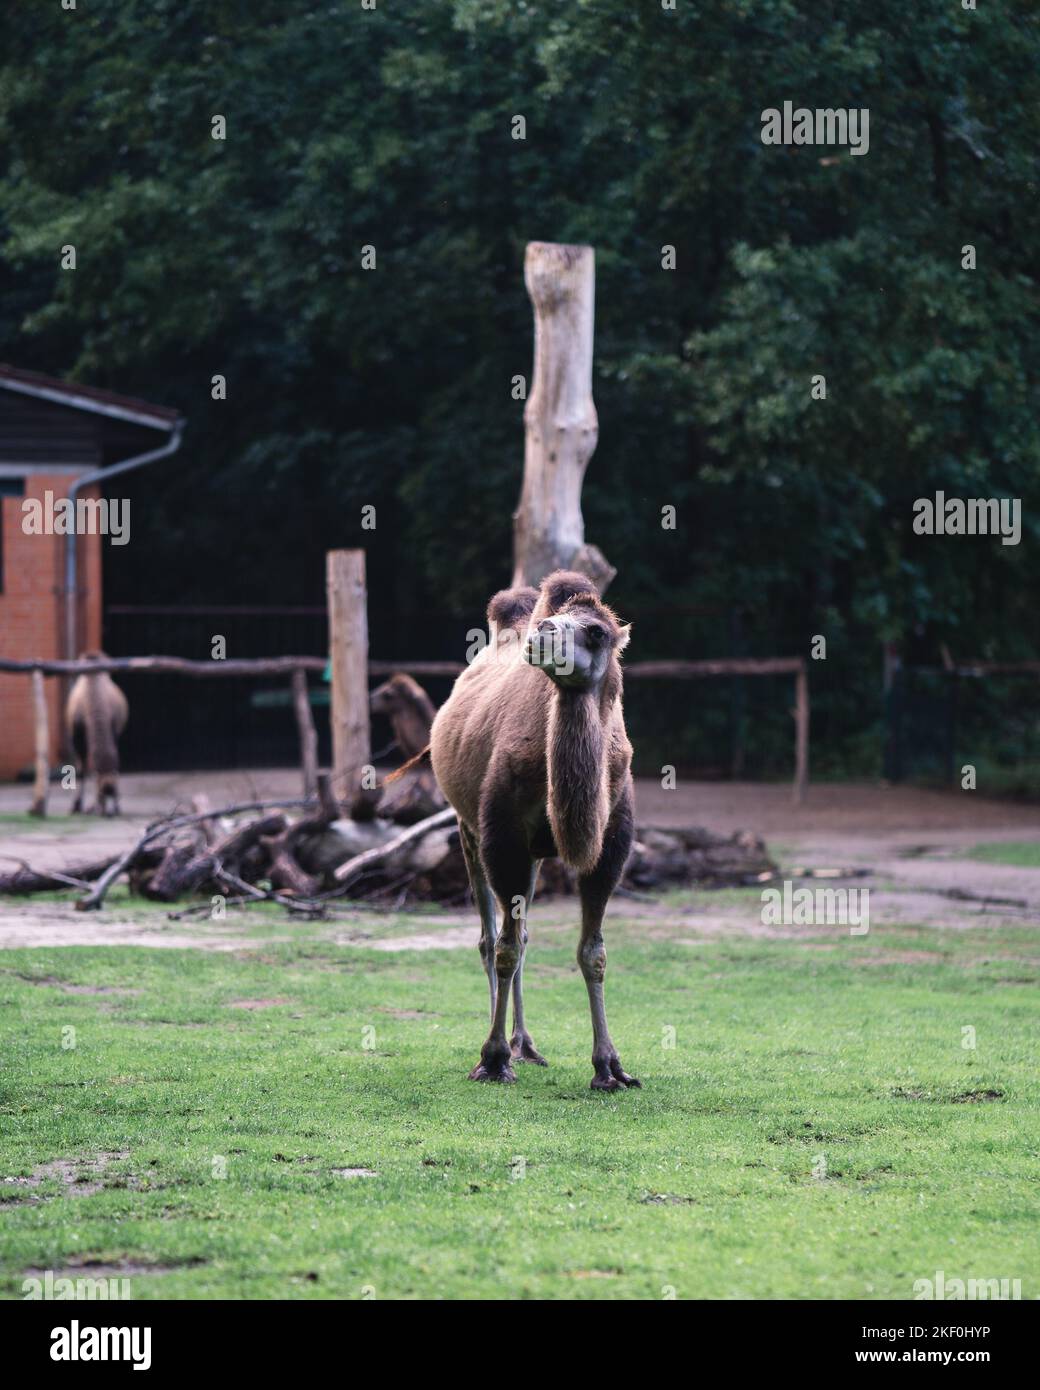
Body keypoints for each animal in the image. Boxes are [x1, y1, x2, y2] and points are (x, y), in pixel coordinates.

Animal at [64, 653, 129, 816]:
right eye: (101, 796)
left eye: (115, 795)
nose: (109, 813)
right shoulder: (77, 736)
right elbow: (82, 770)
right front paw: (76, 806)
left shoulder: (113, 727)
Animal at [430, 570, 639, 1090]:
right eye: (555, 619)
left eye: (596, 631)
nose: (542, 633)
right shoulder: (503, 836)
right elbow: (503, 948)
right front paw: (492, 1058)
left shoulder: (611, 843)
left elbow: (593, 952)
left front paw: (610, 1067)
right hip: (469, 829)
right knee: (491, 940)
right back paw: (503, 1044)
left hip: (538, 854)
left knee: (523, 936)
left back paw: (525, 1043)